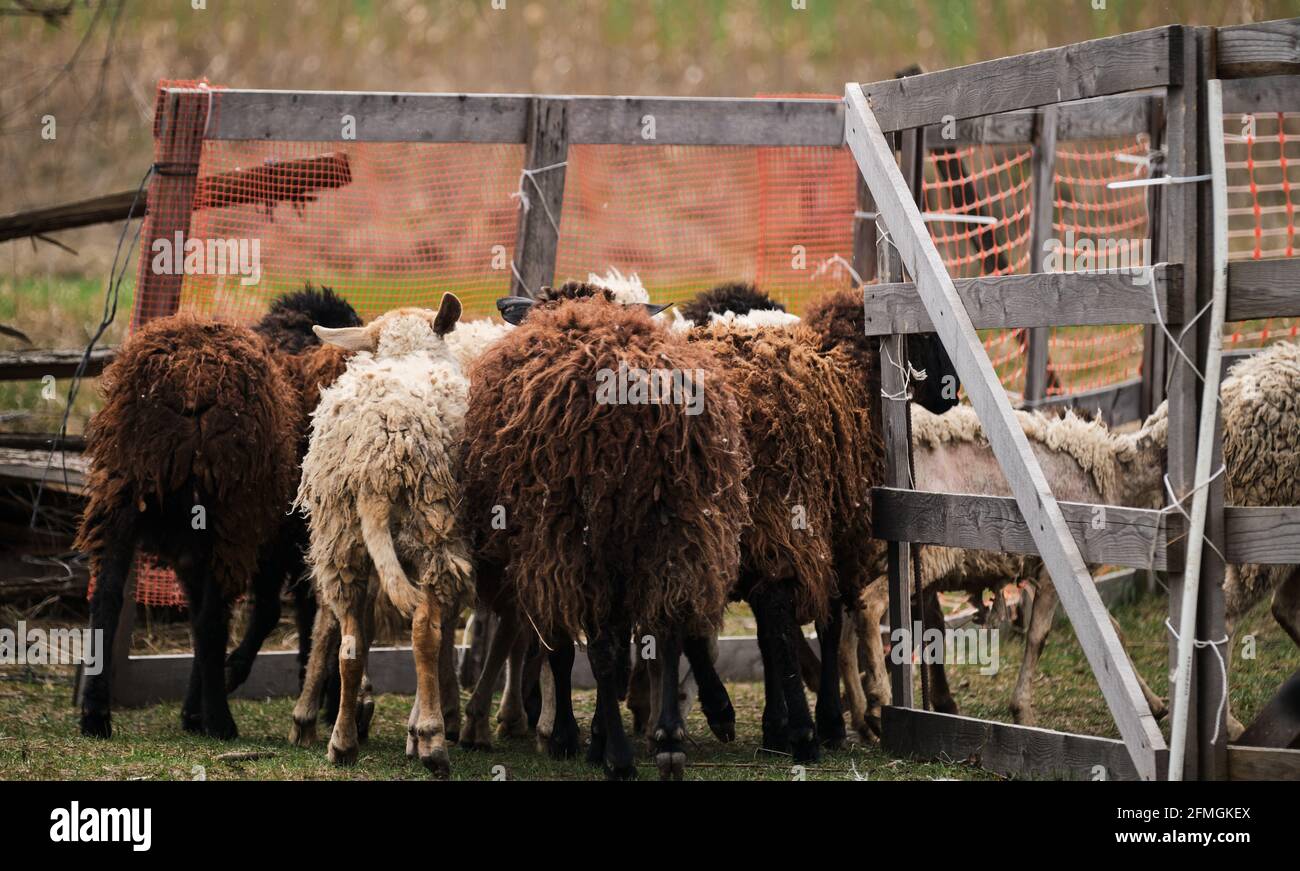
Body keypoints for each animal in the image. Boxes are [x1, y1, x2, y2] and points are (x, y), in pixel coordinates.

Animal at [77, 287, 361, 740]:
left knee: (106, 599)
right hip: (232, 513)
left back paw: (95, 714)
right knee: (215, 617)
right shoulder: (288, 535)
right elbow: (285, 612)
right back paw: (219, 719)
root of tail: (185, 377)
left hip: (119, 497)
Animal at [287, 295, 473, 776]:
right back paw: (433, 743)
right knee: (424, 628)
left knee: (351, 642)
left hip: (342, 538)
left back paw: (342, 744)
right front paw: (429, 727)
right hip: (433, 525)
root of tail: (376, 459)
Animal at [463, 287, 750, 779]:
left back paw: (620, 756)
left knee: (600, 649)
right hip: (676, 524)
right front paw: (595, 734)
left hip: (581, 536)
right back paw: (668, 738)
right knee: (669, 626)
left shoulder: (550, 550)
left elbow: (567, 650)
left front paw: (571, 737)